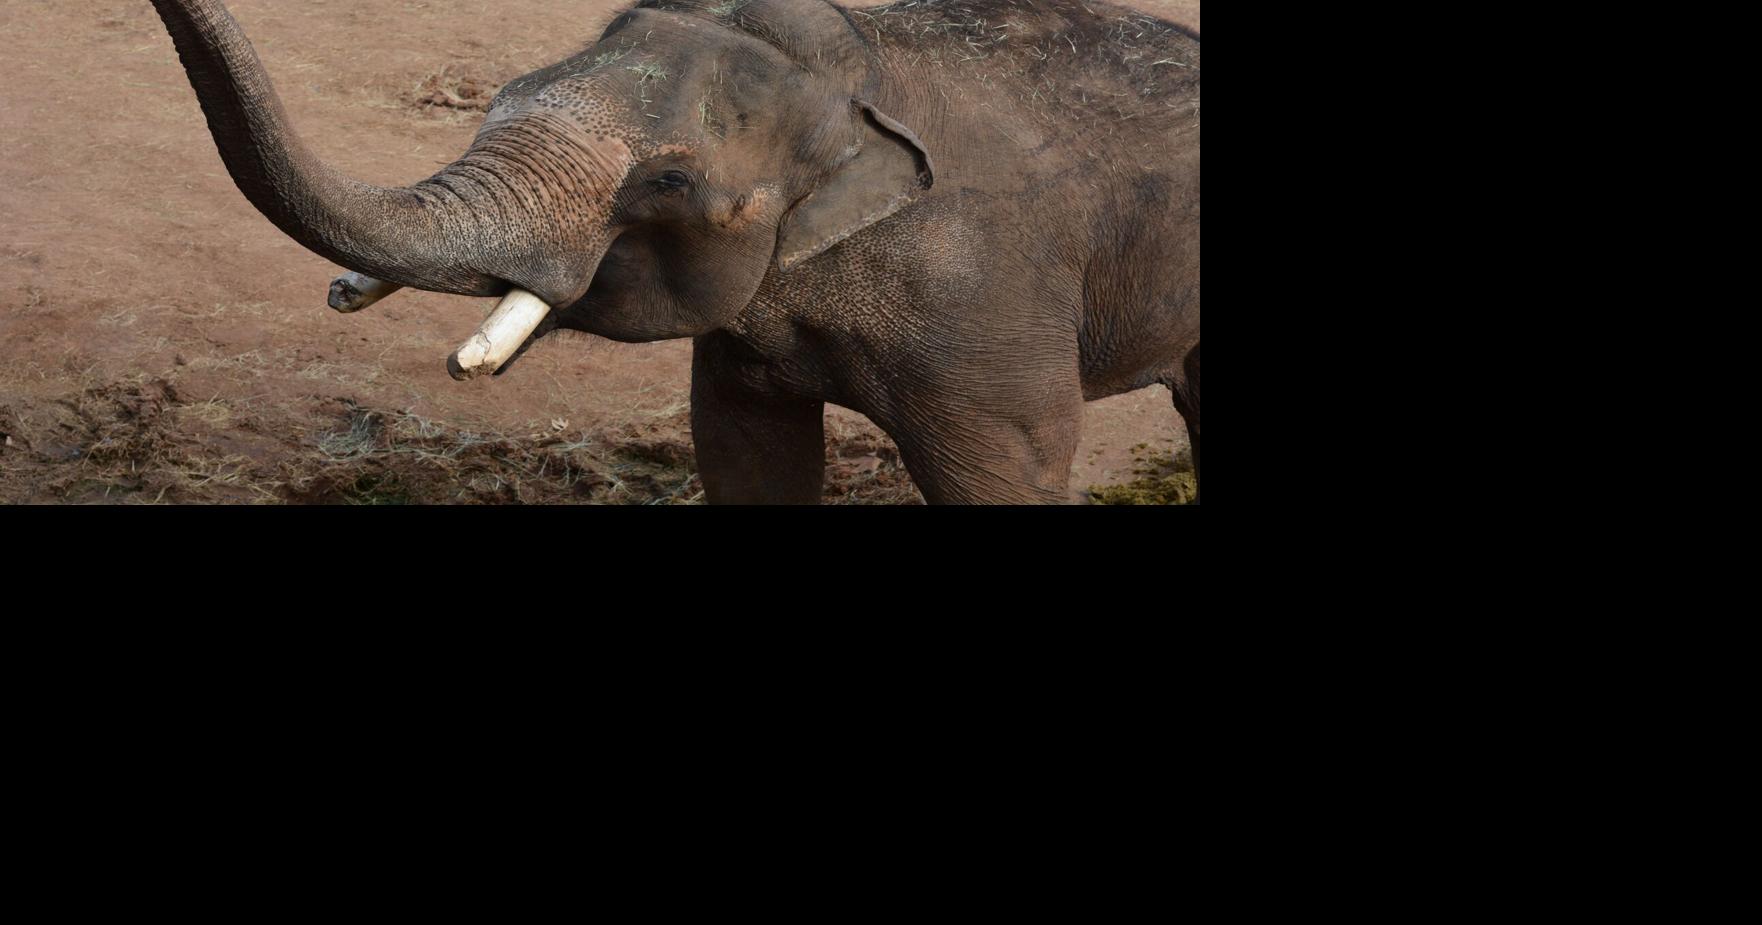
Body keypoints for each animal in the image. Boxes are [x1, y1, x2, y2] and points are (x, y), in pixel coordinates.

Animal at [148, 0, 1200, 503]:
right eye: (503, 94)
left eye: (665, 184)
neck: (854, 70)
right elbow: (746, 457)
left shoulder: (982, 299)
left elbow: (1005, 477)